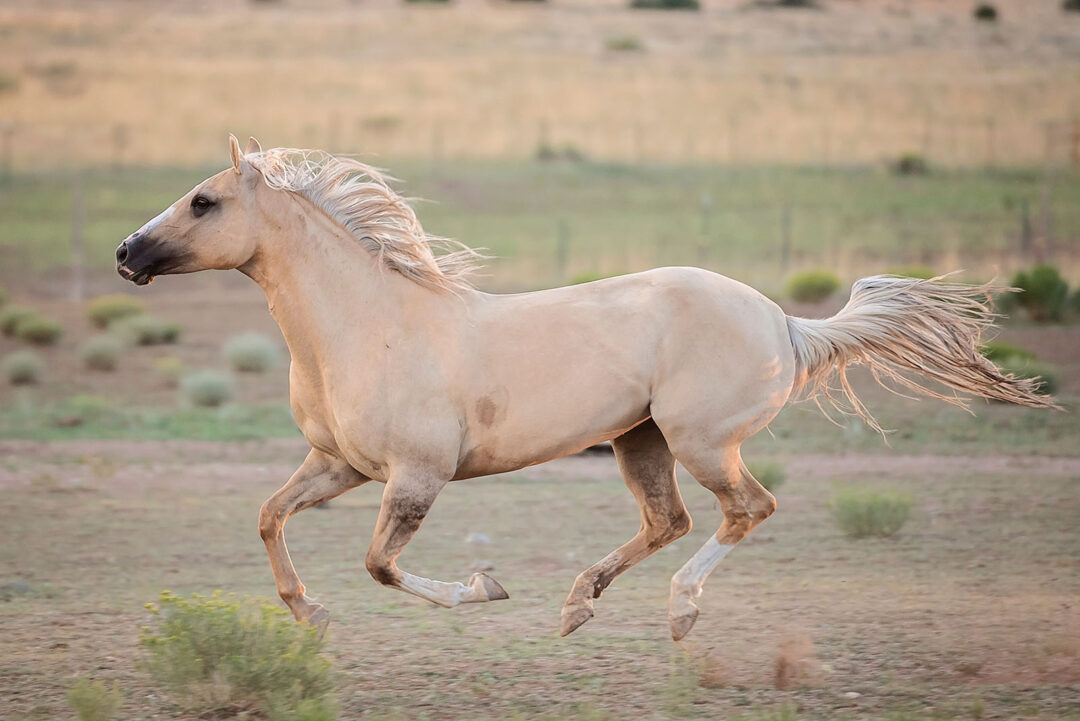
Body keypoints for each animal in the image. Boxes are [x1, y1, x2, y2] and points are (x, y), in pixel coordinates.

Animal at [116, 135, 1054, 642]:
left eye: (201, 201)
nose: (127, 253)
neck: (369, 323)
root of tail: (785, 322)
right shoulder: (337, 465)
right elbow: (269, 517)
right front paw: (308, 616)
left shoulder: (416, 475)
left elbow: (382, 564)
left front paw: (482, 589)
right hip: (641, 441)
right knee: (668, 521)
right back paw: (577, 607)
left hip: (701, 440)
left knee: (745, 510)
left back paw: (677, 614)